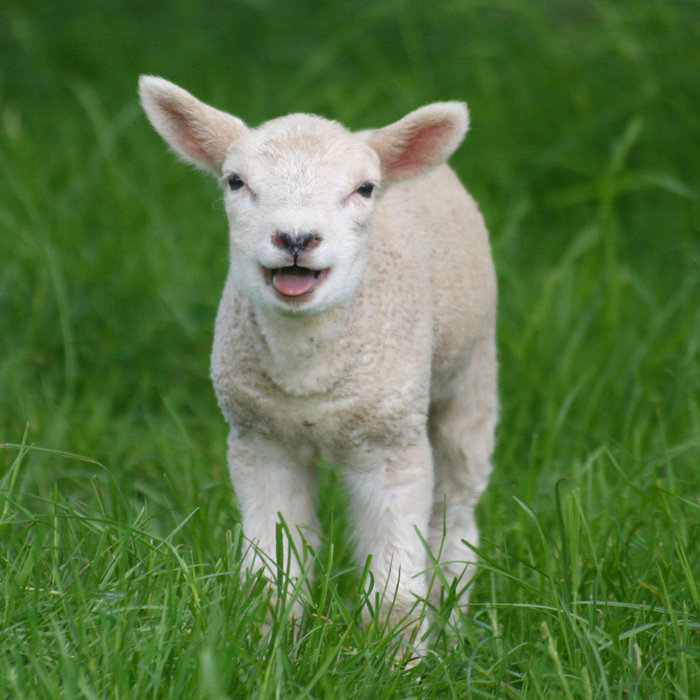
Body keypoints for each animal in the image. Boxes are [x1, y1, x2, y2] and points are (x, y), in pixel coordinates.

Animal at [139, 76, 498, 649]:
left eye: (365, 189)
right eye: (235, 181)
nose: (295, 239)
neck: (305, 374)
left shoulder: (391, 448)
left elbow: (397, 591)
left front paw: (399, 660)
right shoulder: (262, 444)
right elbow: (272, 576)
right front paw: (266, 648)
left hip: (472, 373)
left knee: (456, 515)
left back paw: (455, 623)